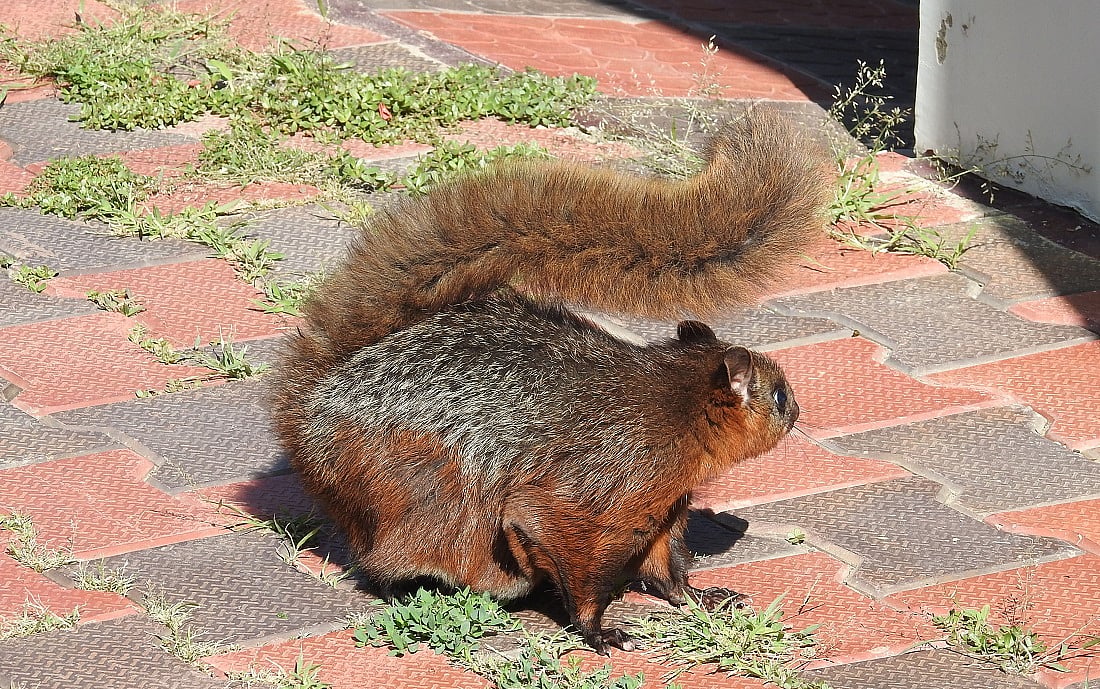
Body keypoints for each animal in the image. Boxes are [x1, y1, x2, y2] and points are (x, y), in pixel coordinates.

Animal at [270, 107, 831, 654]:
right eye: (778, 395)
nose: (800, 411)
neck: (675, 405)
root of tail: (312, 401)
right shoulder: (600, 486)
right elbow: (569, 553)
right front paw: (596, 629)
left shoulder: (661, 511)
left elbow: (665, 571)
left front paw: (703, 596)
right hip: (425, 492)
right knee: (389, 559)